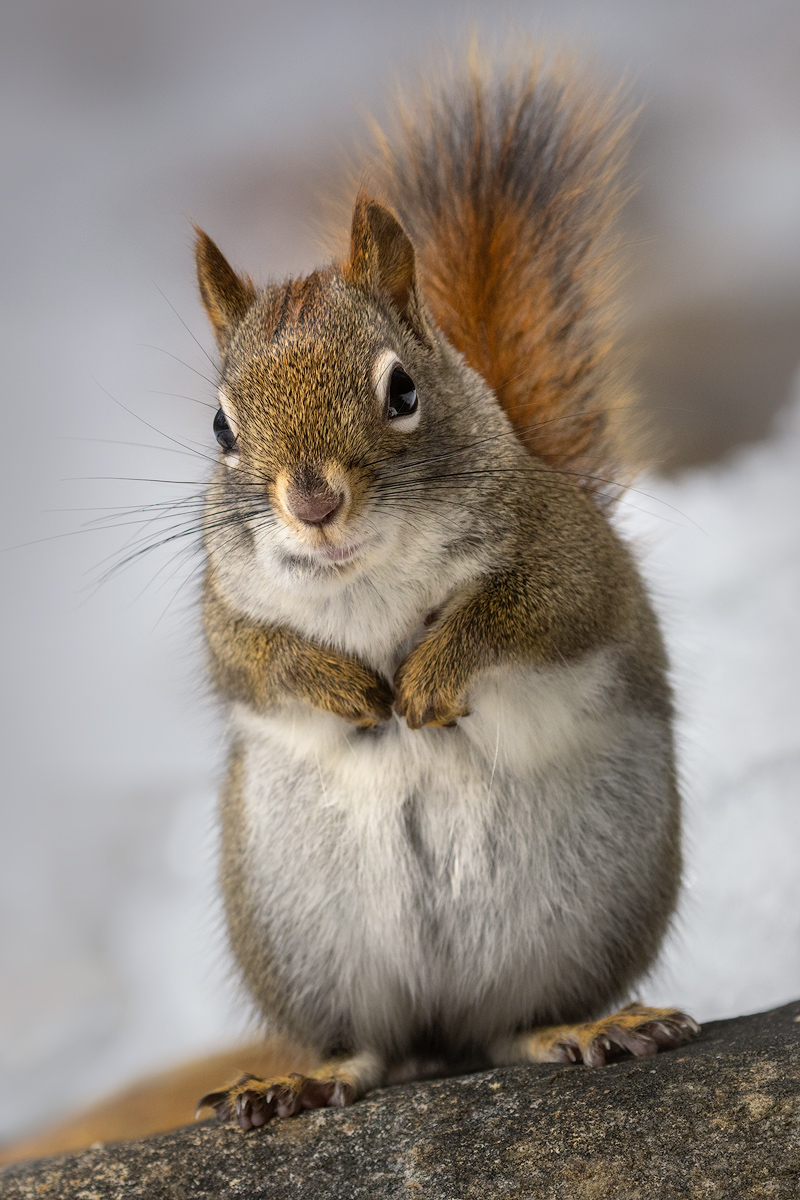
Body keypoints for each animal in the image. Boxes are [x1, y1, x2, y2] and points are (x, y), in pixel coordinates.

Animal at [191, 55, 699, 1130]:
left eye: (403, 391)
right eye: (220, 427)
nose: (312, 500)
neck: (366, 578)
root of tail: (445, 1031)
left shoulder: (564, 556)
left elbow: (525, 613)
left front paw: (428, 678)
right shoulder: (225, 605)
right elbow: (255, 659)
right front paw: (344, 687)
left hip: (579, 912)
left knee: (517, 1027)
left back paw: (586, 1028)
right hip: (310, 940)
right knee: (371, 1050)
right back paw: (301, 1080)